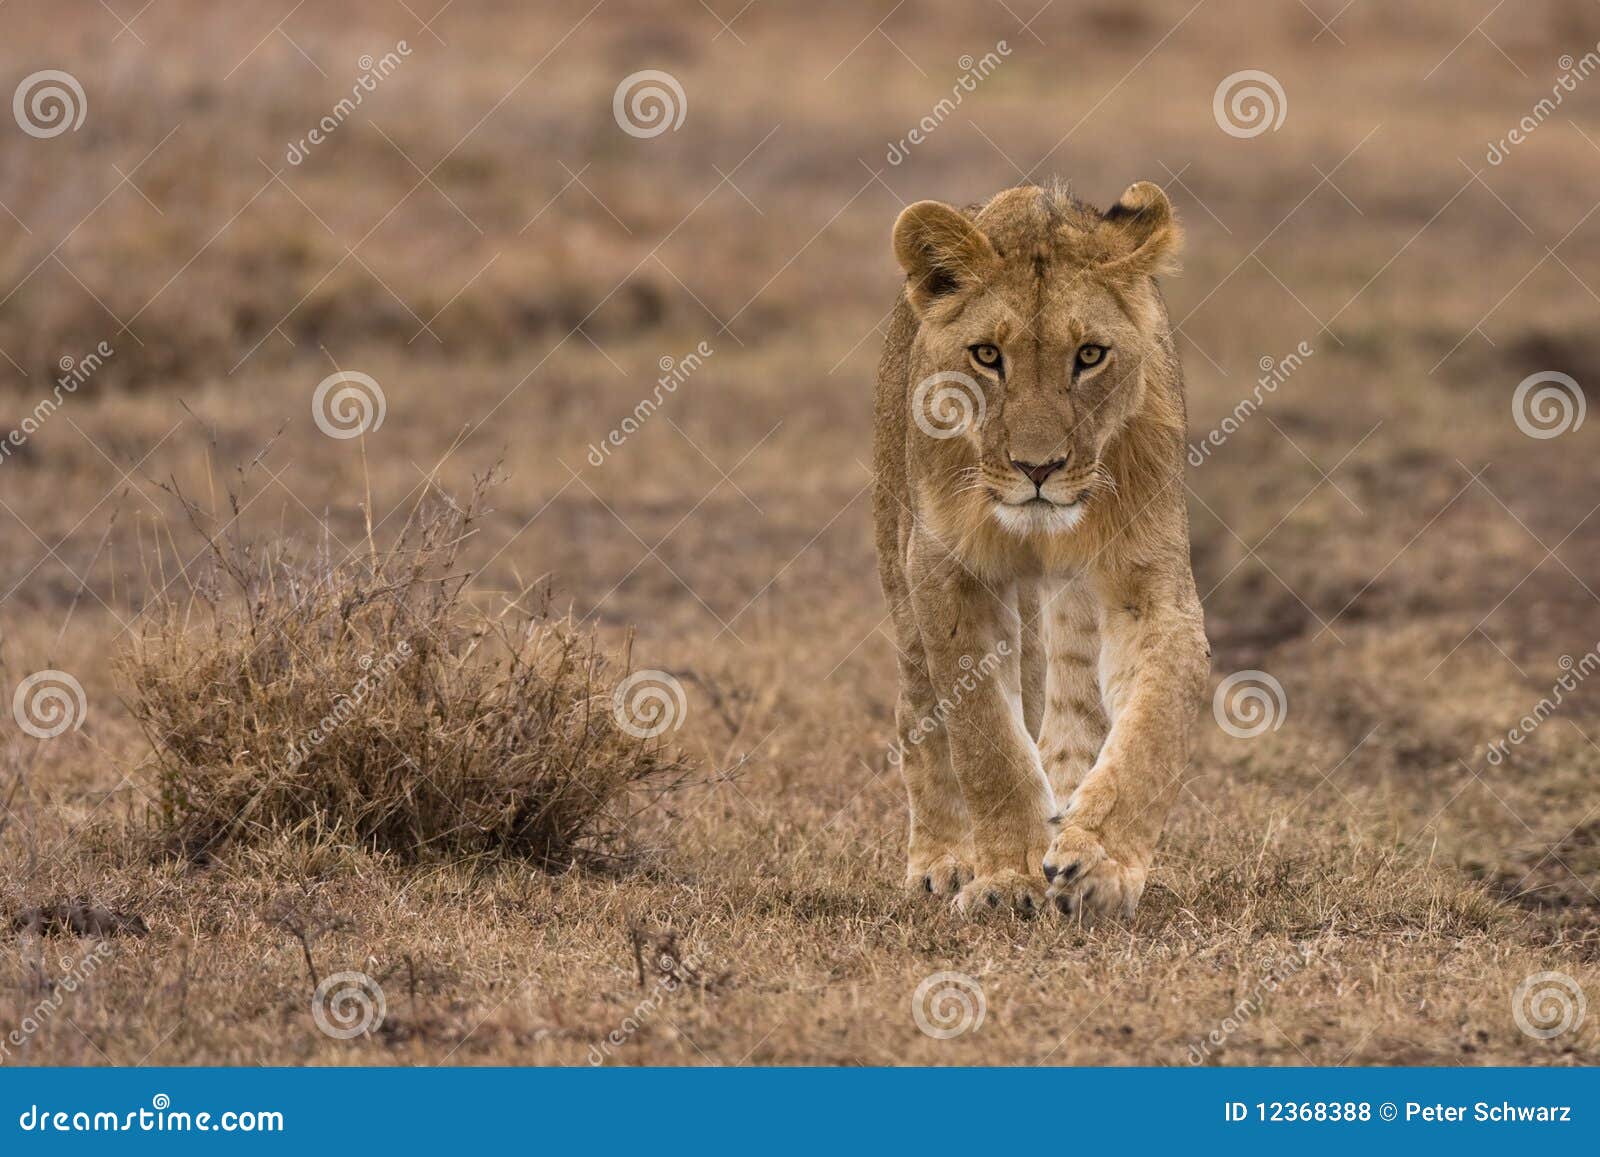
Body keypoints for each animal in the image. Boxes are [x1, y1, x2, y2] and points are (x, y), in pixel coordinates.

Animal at [873, 181, 1210, 919]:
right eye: (986, 356)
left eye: (1088, 355)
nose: (1038, 468)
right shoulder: (945, 569)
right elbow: (985, 738)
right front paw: (1010, 875)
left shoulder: (1149, 579)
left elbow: (1159, 719)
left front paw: (1097, 860)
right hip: (895, 553)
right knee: (917, 708)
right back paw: (941, 860)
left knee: (1073, 710)